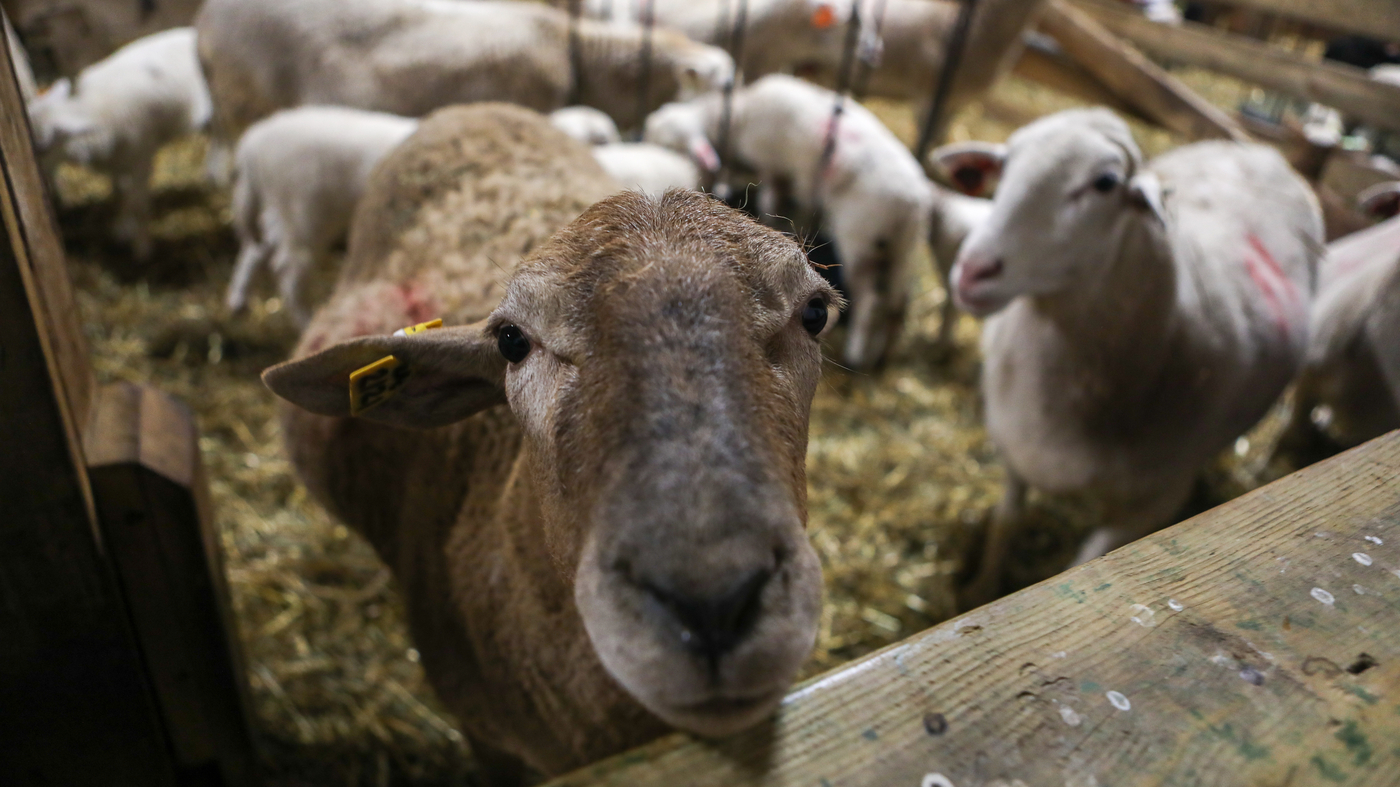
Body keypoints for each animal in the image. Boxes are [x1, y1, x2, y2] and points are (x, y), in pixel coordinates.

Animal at [26, 27, 210, 260]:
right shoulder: (118, 159)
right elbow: (120, 193)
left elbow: (138, 204)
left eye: (43, 147)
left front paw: (142, 248)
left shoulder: (142, 156)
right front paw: (121, 228)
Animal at [224, 106, 419, 327]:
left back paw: (238, 301)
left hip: (281, 213)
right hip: (302, 216)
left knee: (253, 250)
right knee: (287, 271)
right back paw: (306, 322)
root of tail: (252, 145)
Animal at [646, 73, 932, 370]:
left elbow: (770, 201)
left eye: (669, 146)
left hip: (861, 237)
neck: (741, 113)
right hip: (905, 247)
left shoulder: (772, 168)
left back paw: (856, 353)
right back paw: (884, 356)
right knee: (898, 303)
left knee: (871, 299)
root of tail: (911, 201)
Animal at [933, 108, 1323, 604]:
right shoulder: (1014, 450)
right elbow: (1007, 521)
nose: (973, 271)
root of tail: (1261, 151)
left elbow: (1085, 567)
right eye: (1004, 167)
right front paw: (981, 590)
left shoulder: (1151, 503)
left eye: (1105, 183)